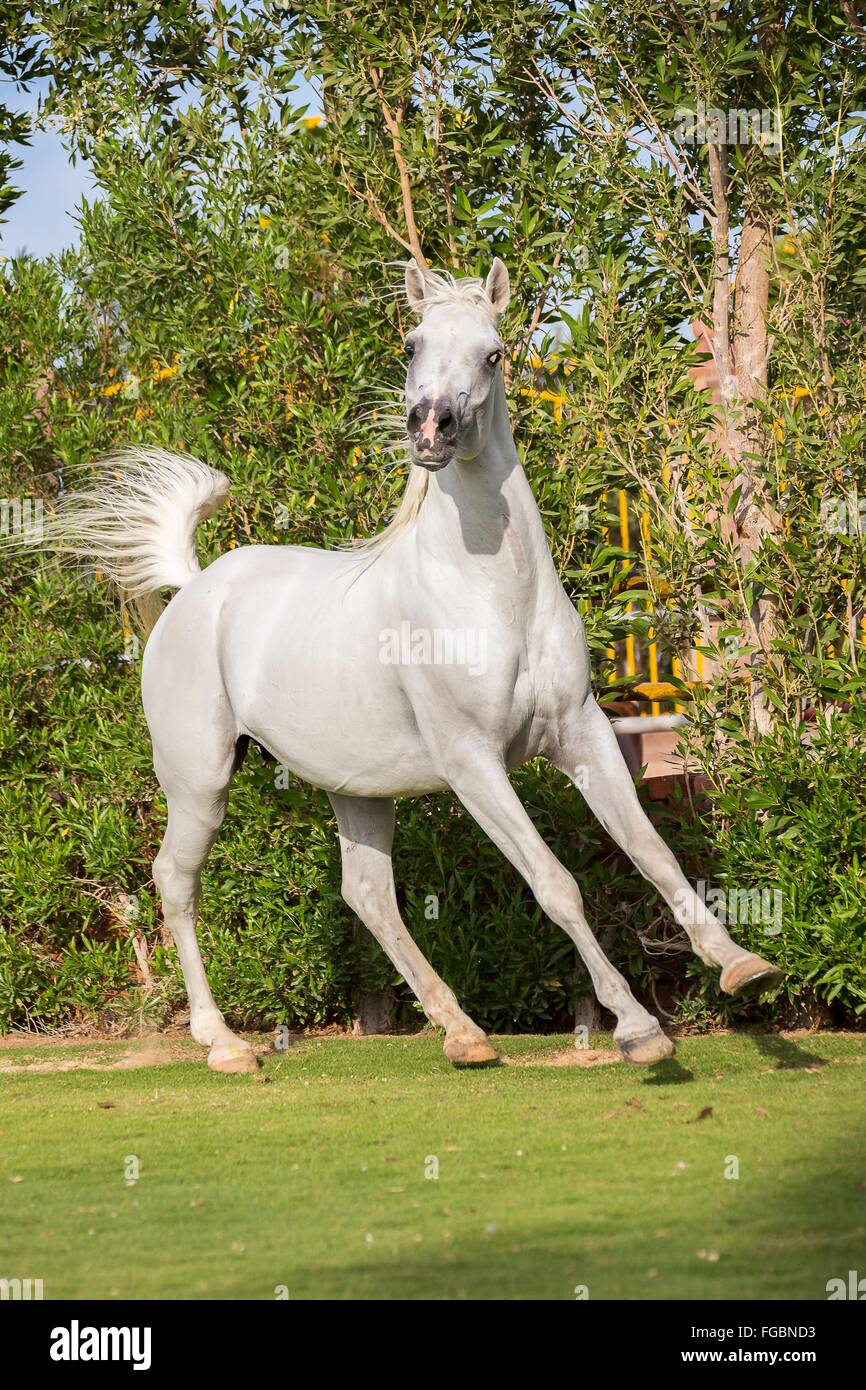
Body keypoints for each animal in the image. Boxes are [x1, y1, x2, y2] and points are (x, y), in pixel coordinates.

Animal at [30, 258, 782, 1072]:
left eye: (494, 353)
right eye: (411, 343)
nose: (429, 428)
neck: (492, 594)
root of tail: (195, 587)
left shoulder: (582, 737)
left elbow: (651, 851)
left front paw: (741, 965)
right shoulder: (473, 764)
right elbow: (556, 885)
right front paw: (638, 1028)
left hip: (355, 787)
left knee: (367, 894)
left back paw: (463, 1033)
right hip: (199, 783)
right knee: (176, 881)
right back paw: (225, 1044)